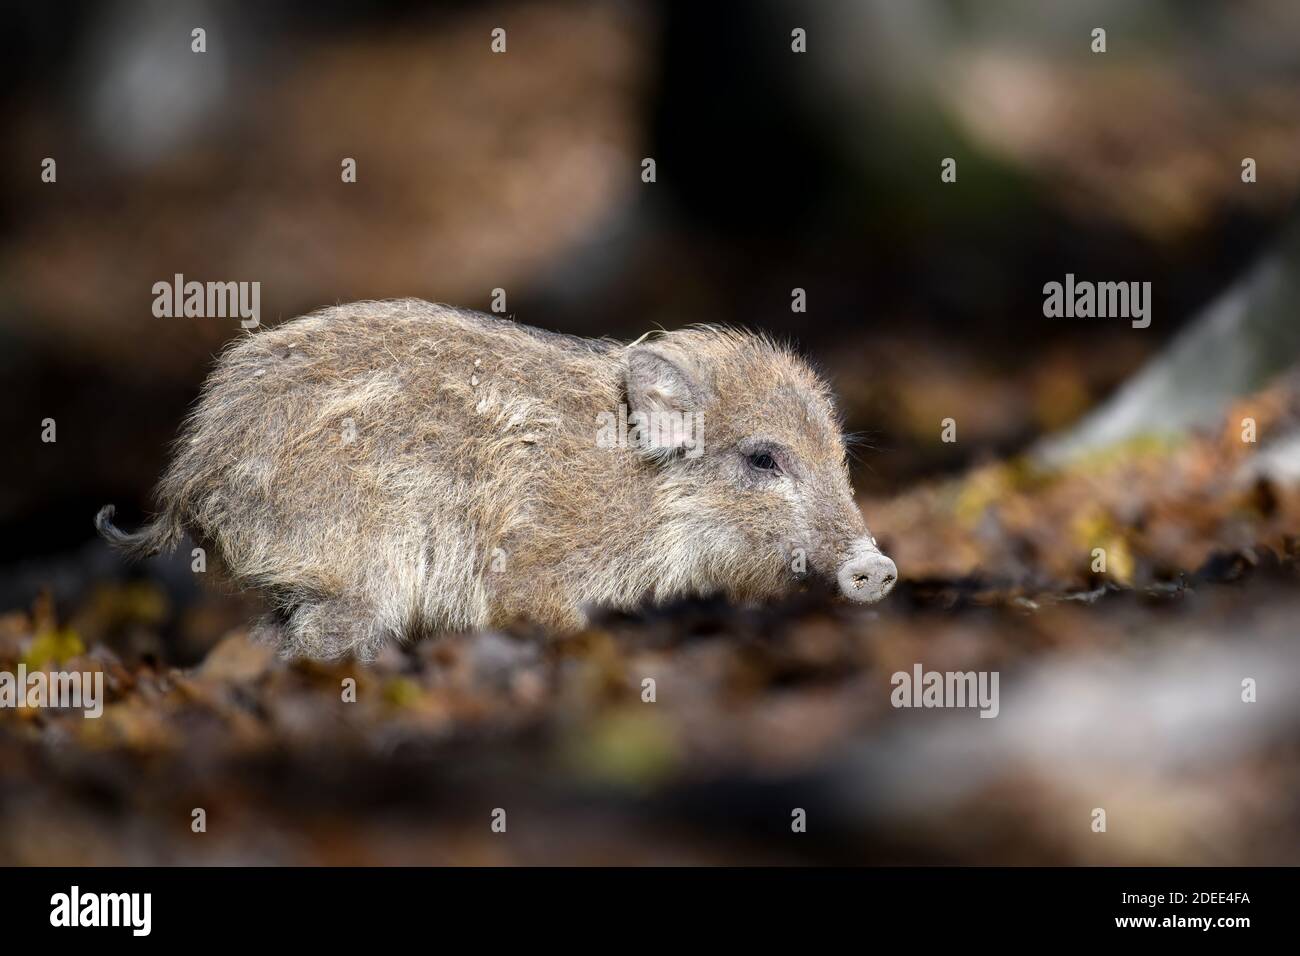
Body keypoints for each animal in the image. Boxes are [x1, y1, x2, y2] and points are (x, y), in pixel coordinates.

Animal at [96, 300, 896, 660]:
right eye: (763, 459)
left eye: (840, 455)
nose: (880, 567)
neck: (638, 494)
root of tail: (195, 464)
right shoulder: (533, 571)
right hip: (352, 572)